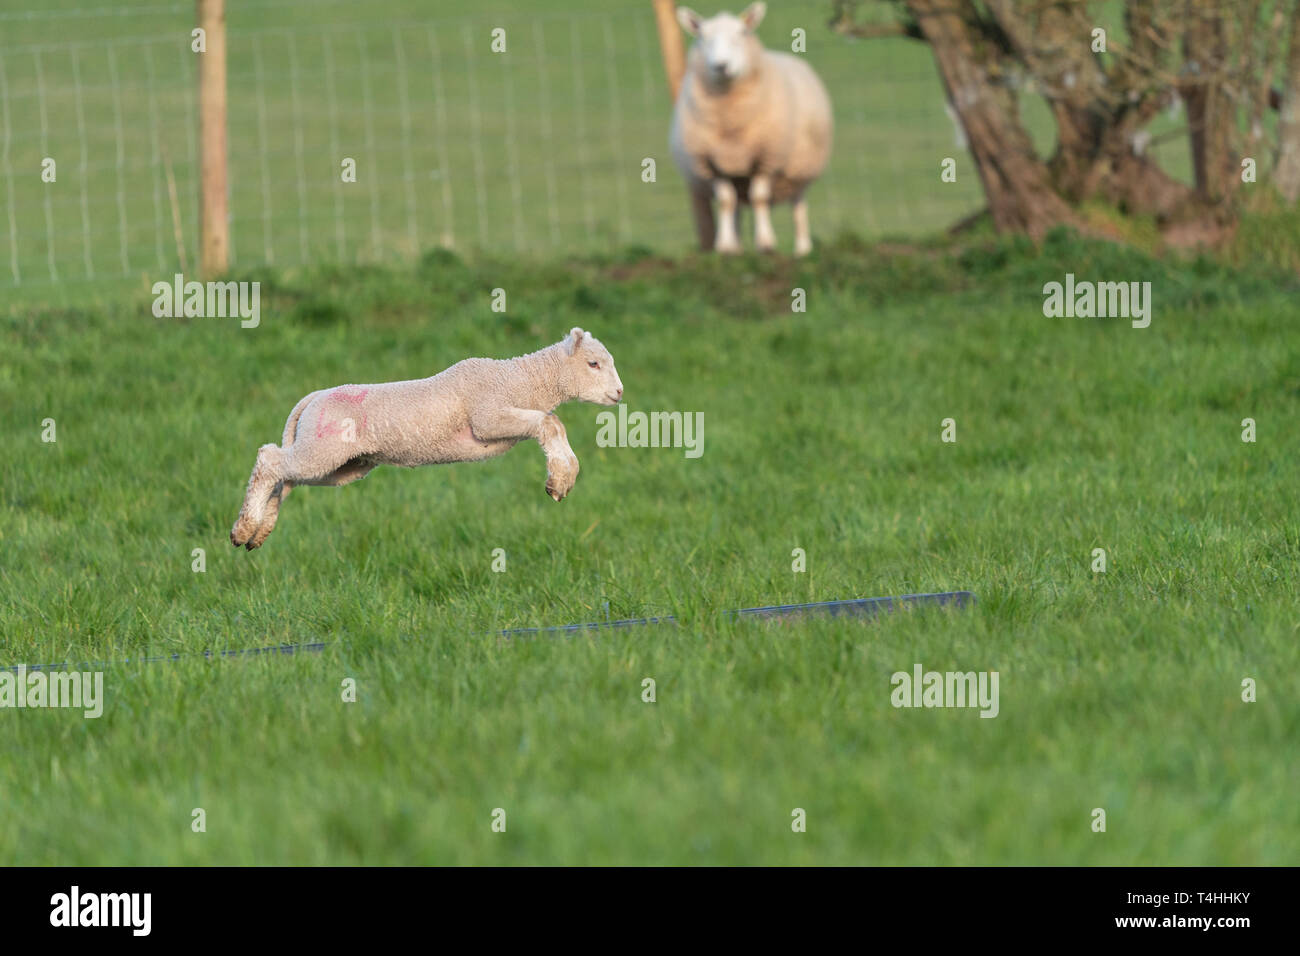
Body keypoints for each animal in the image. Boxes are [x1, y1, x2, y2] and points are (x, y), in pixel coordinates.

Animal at [230, 328, 623, 550]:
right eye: (593, 364)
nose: (620, 393)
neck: (520, 381)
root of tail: (312, 398)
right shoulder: (487, 416)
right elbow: (550, 423)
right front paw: (559, 479)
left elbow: (553, 423)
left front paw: (564, 478)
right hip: (323, 447)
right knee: (269, 460)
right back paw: (243, 528)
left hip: (344, 464)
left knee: (286, 477)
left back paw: (258, 533)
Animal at [670, 2, 833, 256]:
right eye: (702, 37)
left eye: (742, 33)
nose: (721, 66)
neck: (729, 118)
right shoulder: (712, 164)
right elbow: (725, 201)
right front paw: (725, 246)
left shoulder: (766, 159)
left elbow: (759, 198)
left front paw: (766, 243)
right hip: (737, 174)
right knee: (735, 204)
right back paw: (737, 245)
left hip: (799, 168)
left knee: (797, 204)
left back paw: (802, 248)